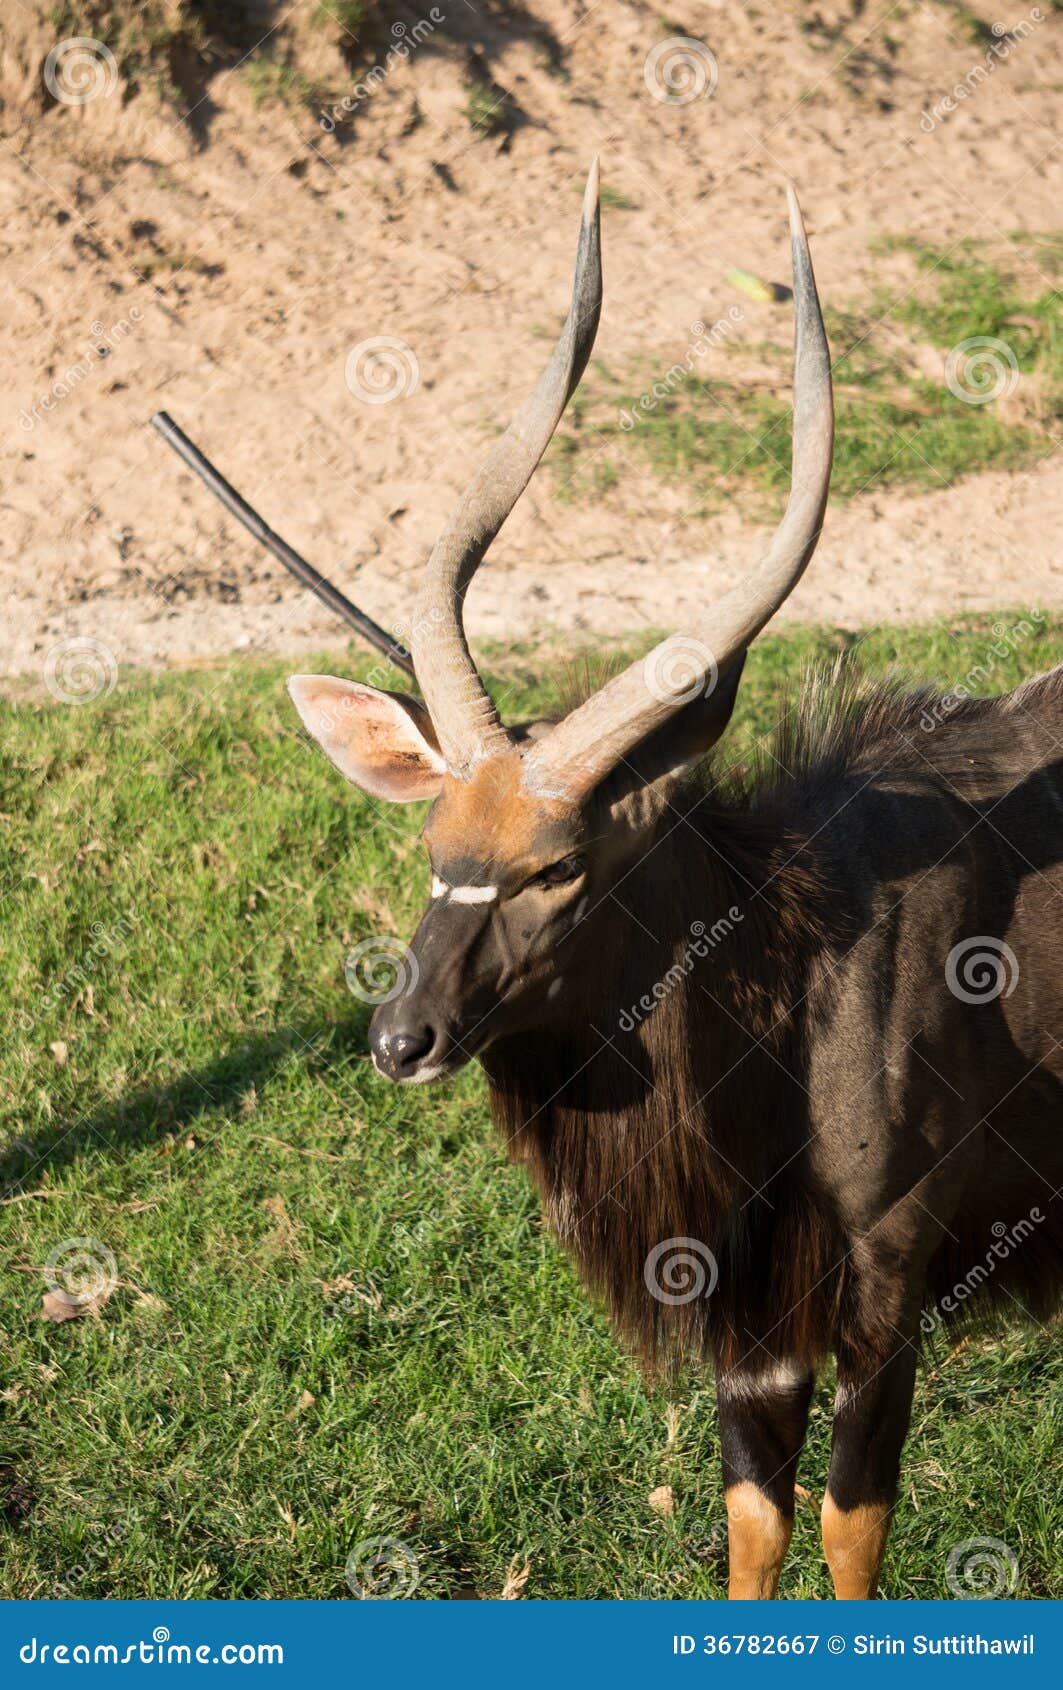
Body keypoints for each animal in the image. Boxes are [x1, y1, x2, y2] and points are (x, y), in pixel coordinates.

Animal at [287, 164, 1063, 1600]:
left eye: (556, 866)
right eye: (436, 849)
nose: (400, 1036)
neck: (805, 968)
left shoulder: (885, 1287)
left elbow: (848, 1525)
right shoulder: (752, 1328)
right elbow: (752, 1518)